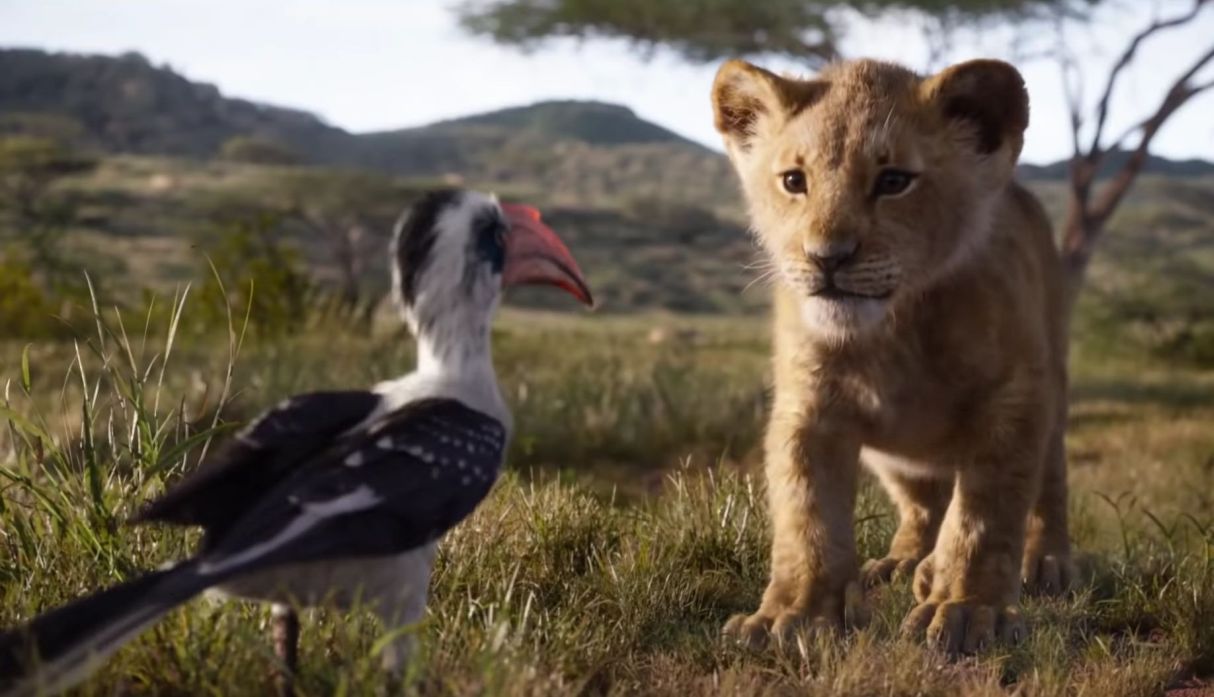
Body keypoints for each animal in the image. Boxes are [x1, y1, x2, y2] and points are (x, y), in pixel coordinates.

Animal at [710, 57, 1074, 653]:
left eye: (893, 181)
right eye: (794, 181)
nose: (827, 257)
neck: (893, 331)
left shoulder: (1013, 399)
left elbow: (984, 515)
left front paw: (965, 610)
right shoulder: (809, 407)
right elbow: (807, 514)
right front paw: (792, 616)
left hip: (1054, 385)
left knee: (1048, 482)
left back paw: (1042, 562)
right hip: (896, 458)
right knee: (923, 503)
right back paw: (907, 563)